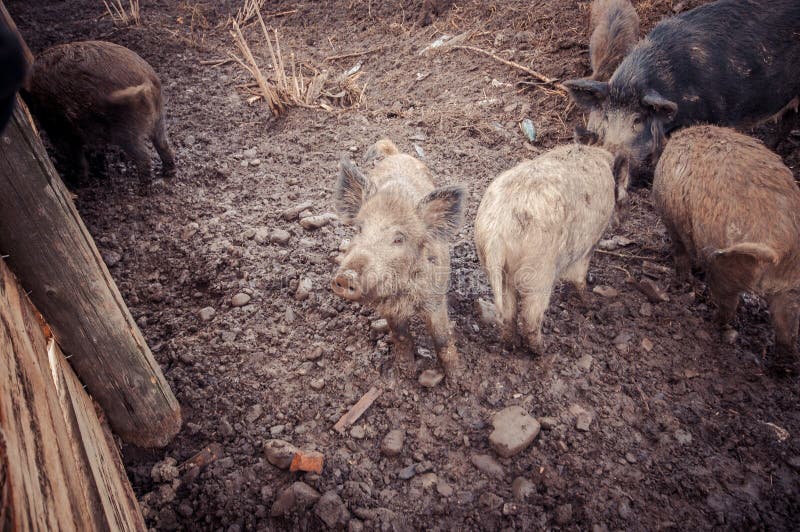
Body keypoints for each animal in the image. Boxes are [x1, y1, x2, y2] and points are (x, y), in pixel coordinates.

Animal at [23, 40, 175, 191]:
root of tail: (148, 80)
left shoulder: (59, 129)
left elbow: (75, 155)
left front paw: (77, 184)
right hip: (158, 116)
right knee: (163, 144)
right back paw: (168, 174)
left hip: (126, 129)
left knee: (144, 156)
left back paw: (142, 190)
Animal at [331, 139, 466, 381]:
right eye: (359, 228)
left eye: (398, 239)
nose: (346, 277)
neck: (404, 293)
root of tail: (397, 154)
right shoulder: (389, 310)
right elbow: (401, 337)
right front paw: (407, 373)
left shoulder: (435, 300)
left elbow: (442, 338)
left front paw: (457, 379)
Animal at [475, 144, 629, 352]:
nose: (622, 221)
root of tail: (497, 232)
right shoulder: (589, 243)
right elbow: (579, 276)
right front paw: (591, 303)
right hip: (540, 270)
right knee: (531, 316)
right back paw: (544, 349)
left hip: (496, 268)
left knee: (508, 311)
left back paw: (512, 344)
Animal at [653, 125, 800, 372]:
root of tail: (776, 245)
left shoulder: (671, 219)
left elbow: (680, 253)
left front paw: (681, 282)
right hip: (789, 286)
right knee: (786, 328)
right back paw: (782, 367)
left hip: (726, 268)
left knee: (729, 305)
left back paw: (711, 323)